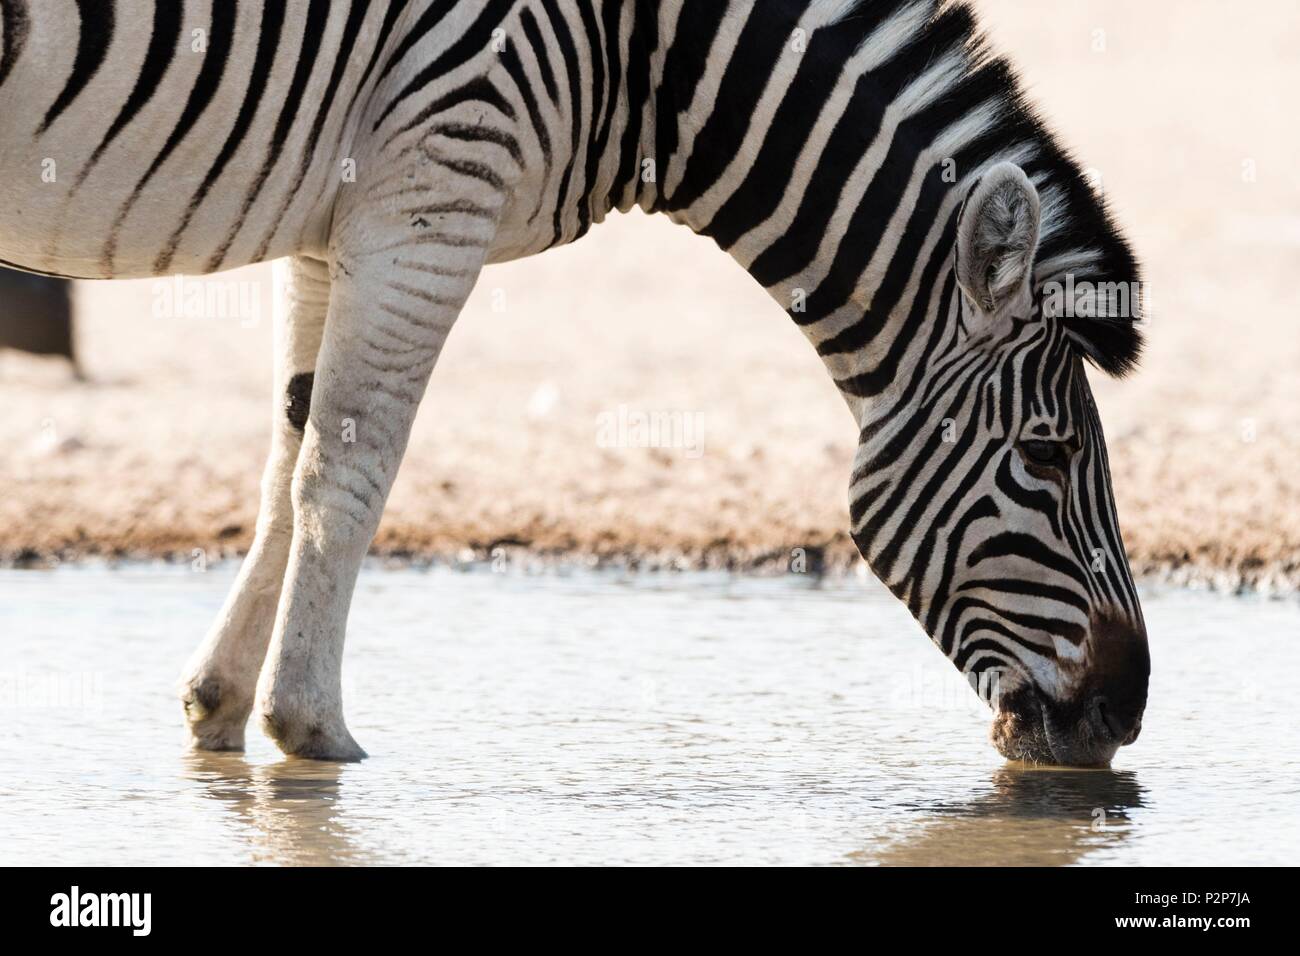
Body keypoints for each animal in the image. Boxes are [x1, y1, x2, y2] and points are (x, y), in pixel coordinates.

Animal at [0, 0, 1150, 765]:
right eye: (1046, 455)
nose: (1124, 714)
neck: (642, 55)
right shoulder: (436, 187)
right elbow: (350, 469)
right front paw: (311, 729)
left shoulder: (338, 219)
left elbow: (291, 455)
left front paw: (222, 702)